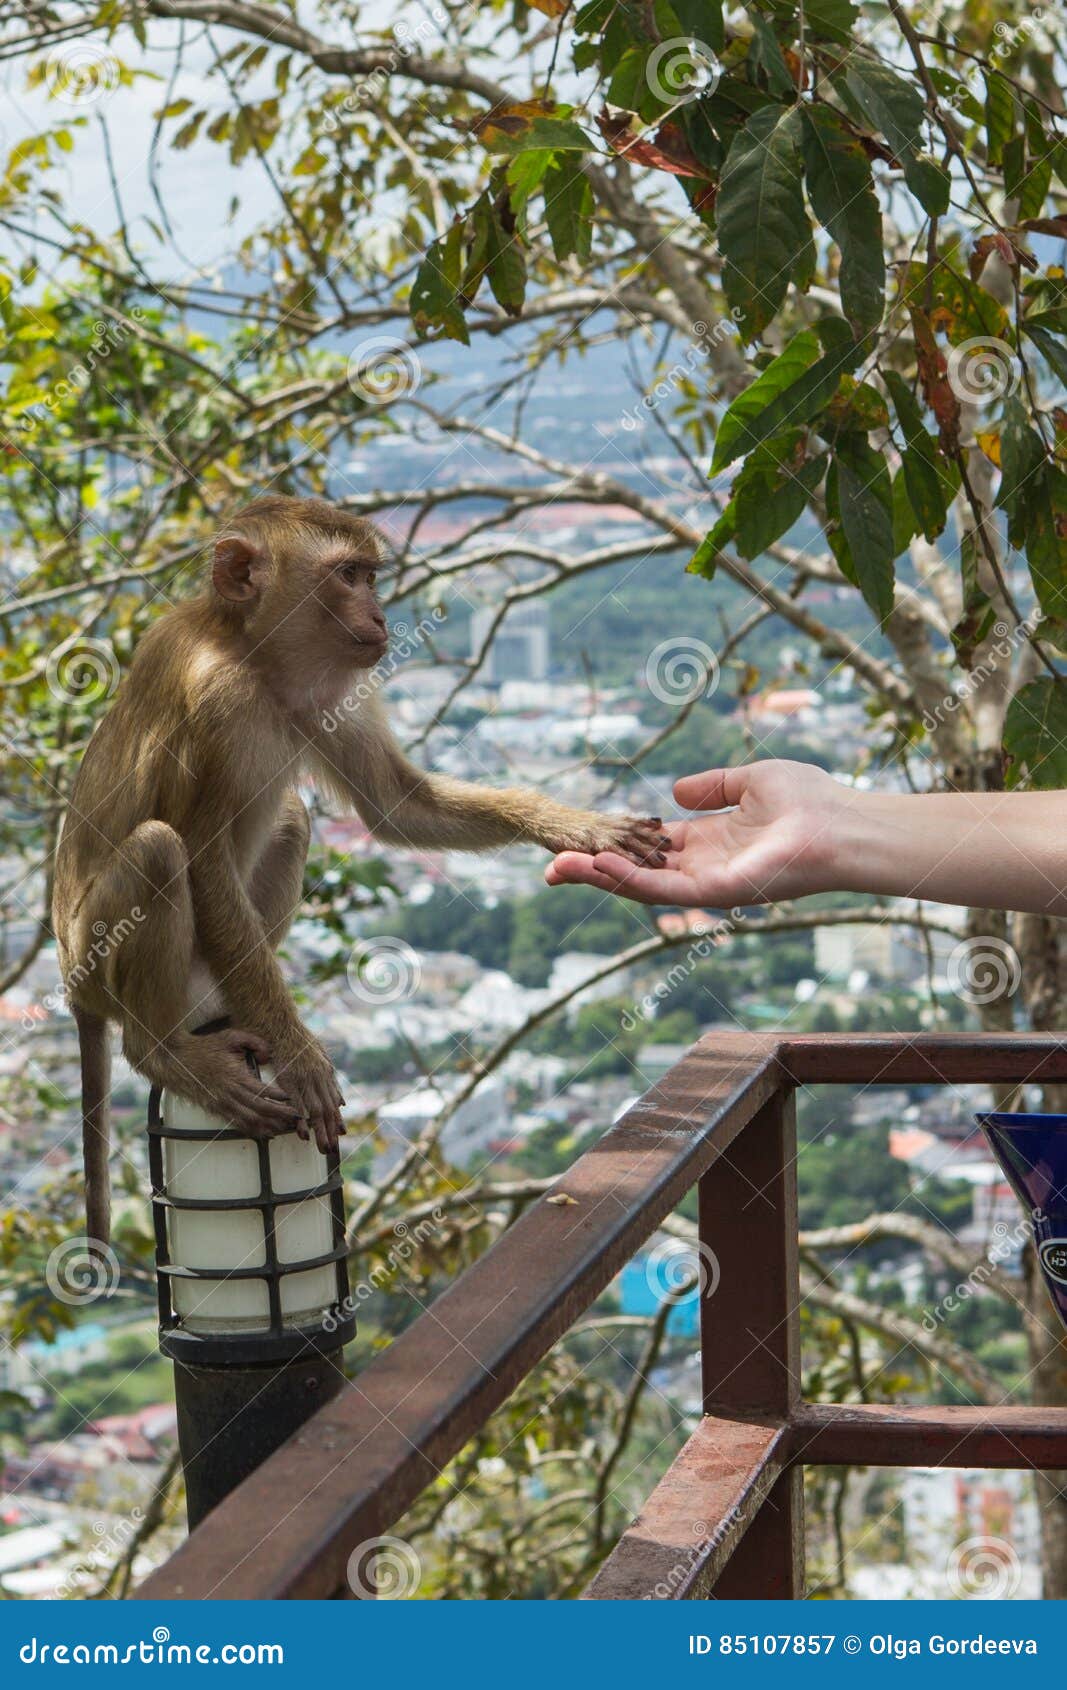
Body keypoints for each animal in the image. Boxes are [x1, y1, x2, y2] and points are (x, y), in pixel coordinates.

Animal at [51, 495, 671, 1248]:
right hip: (96, 960)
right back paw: (162, 1050)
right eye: (348, 575)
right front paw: (301, 1056)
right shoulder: (217, 700)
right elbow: (201, 855)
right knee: (158, 849)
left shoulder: (324, 690)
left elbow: (395, 804)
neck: (249, 654)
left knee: (290, 819)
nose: (379, 616)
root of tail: (72, 984)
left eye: (370, 575)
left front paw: (577, 825)